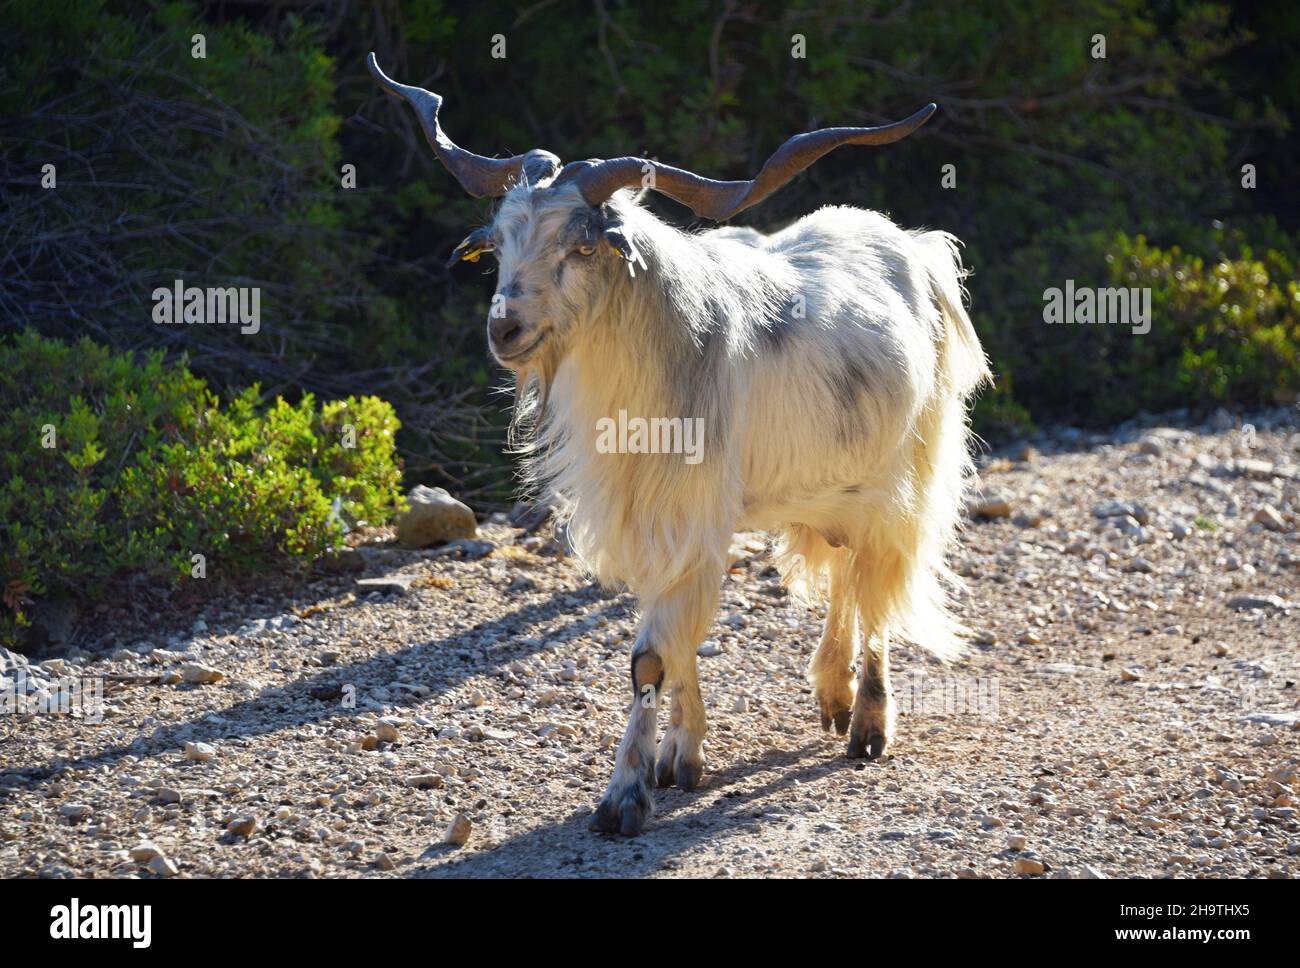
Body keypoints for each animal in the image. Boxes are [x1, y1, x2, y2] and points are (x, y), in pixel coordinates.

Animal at [369, 55, 991, 836]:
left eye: (581, 244)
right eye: (502, 242)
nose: (505, 328)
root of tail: (917, 250)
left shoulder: (689, 511)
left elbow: (650, 658)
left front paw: (623, 799)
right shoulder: (653, 521)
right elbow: (677, 642)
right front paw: (680, 760)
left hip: (904, 468)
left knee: (878, 577)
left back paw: (868, 725)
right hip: (834, 483)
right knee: (849, 576)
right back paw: (833, 691)